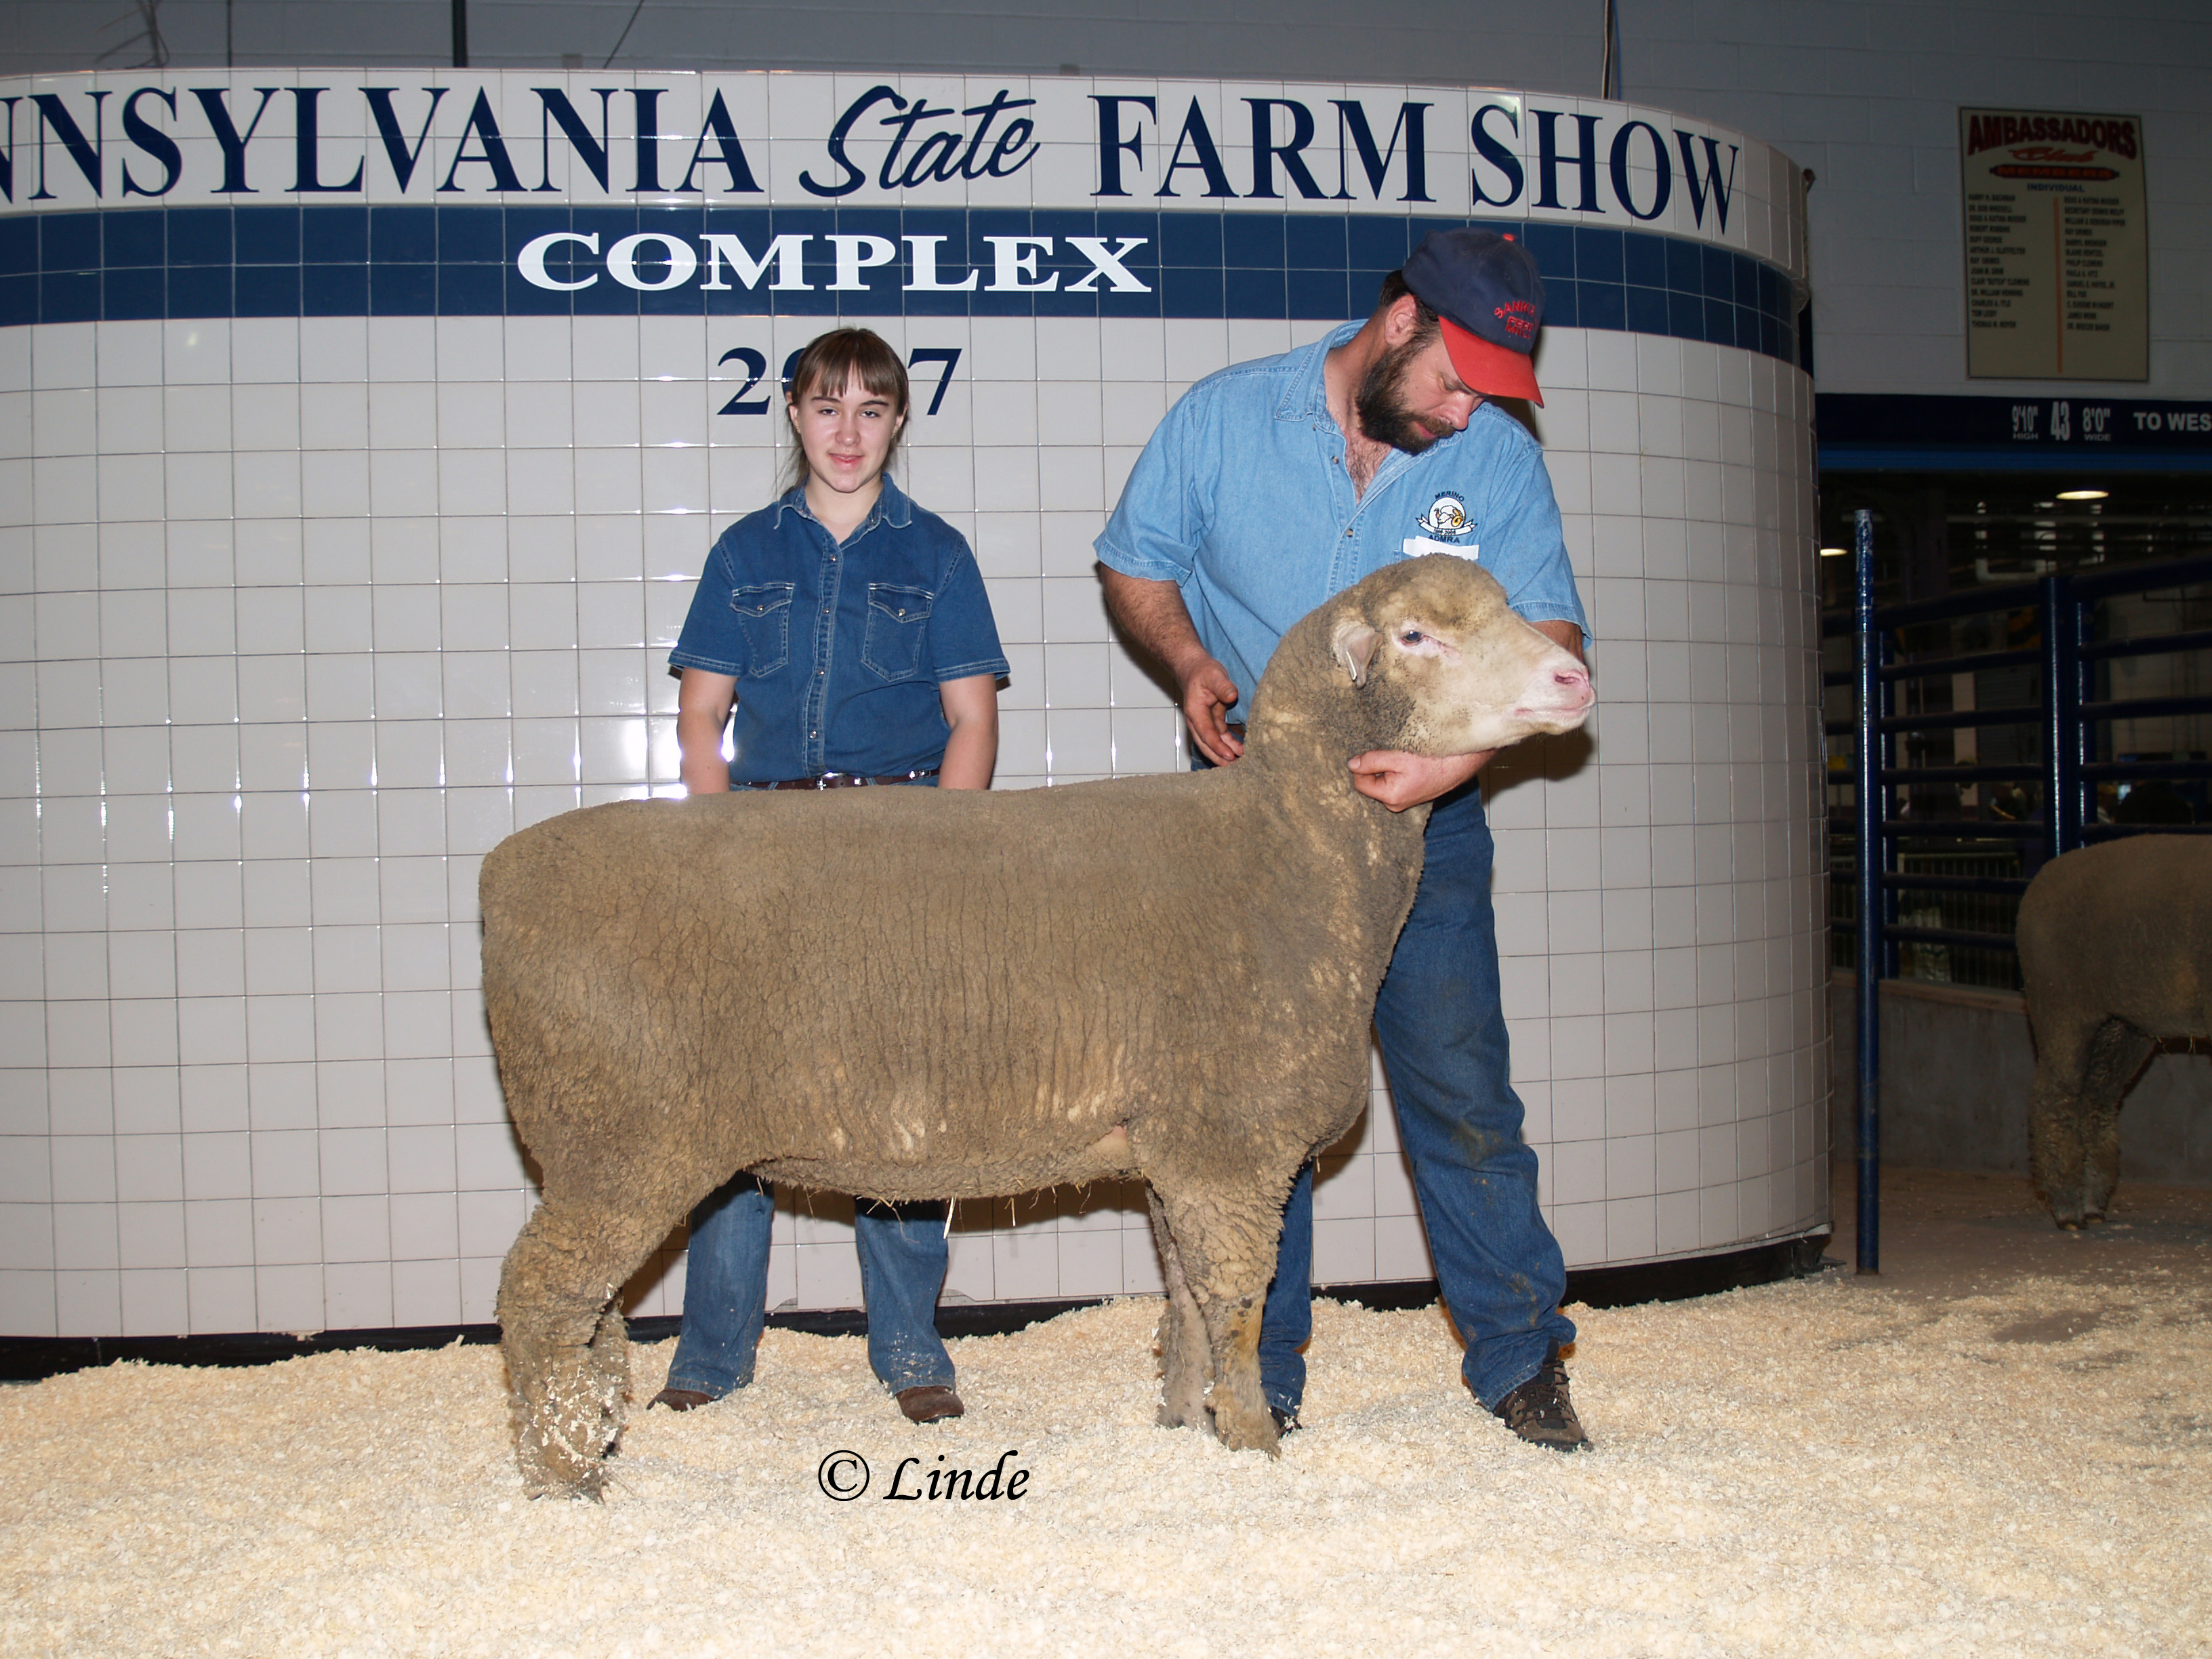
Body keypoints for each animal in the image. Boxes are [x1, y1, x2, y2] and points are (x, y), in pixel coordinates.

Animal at [483, 554, 1595, 1498]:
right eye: (1416, 635)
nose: (1575, 676)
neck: (1292, 850)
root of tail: (500, 876)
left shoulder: (1172, 1149)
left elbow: (1186, 1300)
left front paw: (1182, 1428)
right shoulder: (1229, 1146)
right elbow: (1237, 1304)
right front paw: (1252, 1443)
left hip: (600, 1148)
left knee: (587, 1310)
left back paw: (599, 1431)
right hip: (619, 1139)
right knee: (541, 1294)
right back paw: (564, 1478)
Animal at [2015, 834, 2212, 1228]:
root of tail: (2040, 880)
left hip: (2121, 1028)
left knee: (2096, 1102)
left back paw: (2092, 1203)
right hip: (2059, 1007)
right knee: (2054, 1096)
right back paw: (2067, 1208)